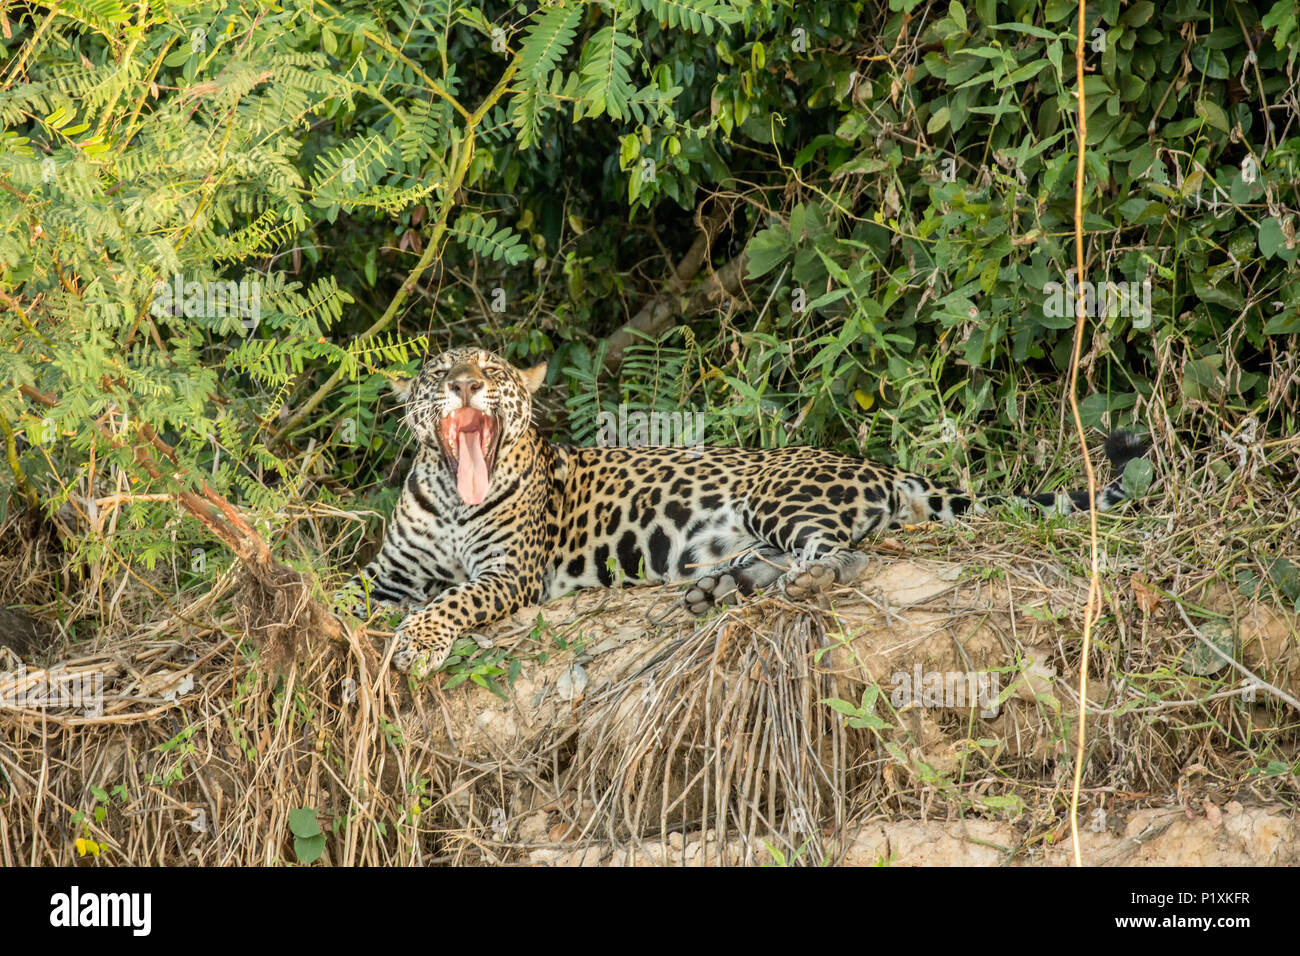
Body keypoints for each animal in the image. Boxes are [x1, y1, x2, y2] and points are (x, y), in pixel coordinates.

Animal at [344, 346, 1148, 678]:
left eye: (490, 371)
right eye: (440, 373)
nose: (465, 388)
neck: (456, 495)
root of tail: (879, 466)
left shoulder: (509, 573)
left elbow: (452, 600)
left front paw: (416, 645)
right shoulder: (389, 575)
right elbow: (351, 593)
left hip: (776, 495)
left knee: (839, 554)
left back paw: (792, 584)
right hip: (750, 527)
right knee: (781, 557)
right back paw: (722, 588)